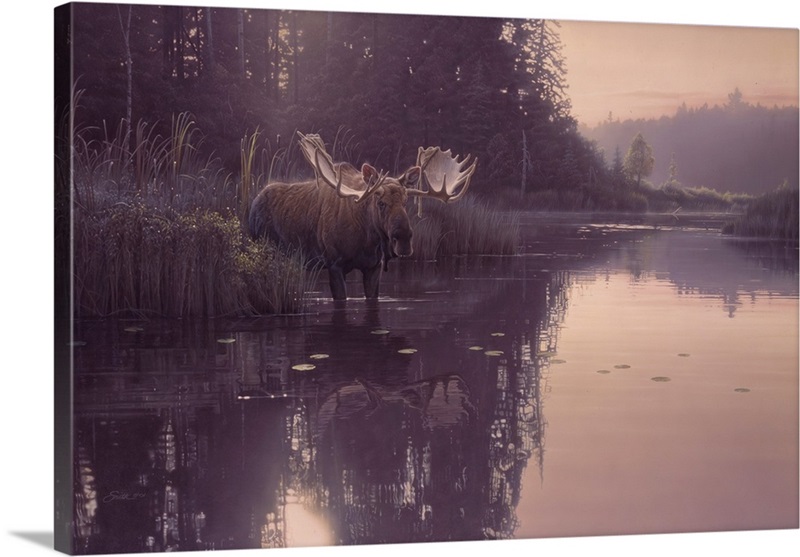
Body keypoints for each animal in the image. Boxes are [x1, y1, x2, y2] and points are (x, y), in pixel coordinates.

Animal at [249, 132, 476, 301]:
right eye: (380, 202)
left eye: (406, 202)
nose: (403, 239)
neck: (367, 240)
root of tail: (253, 203)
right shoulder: (334, 265)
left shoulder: (373, 267)